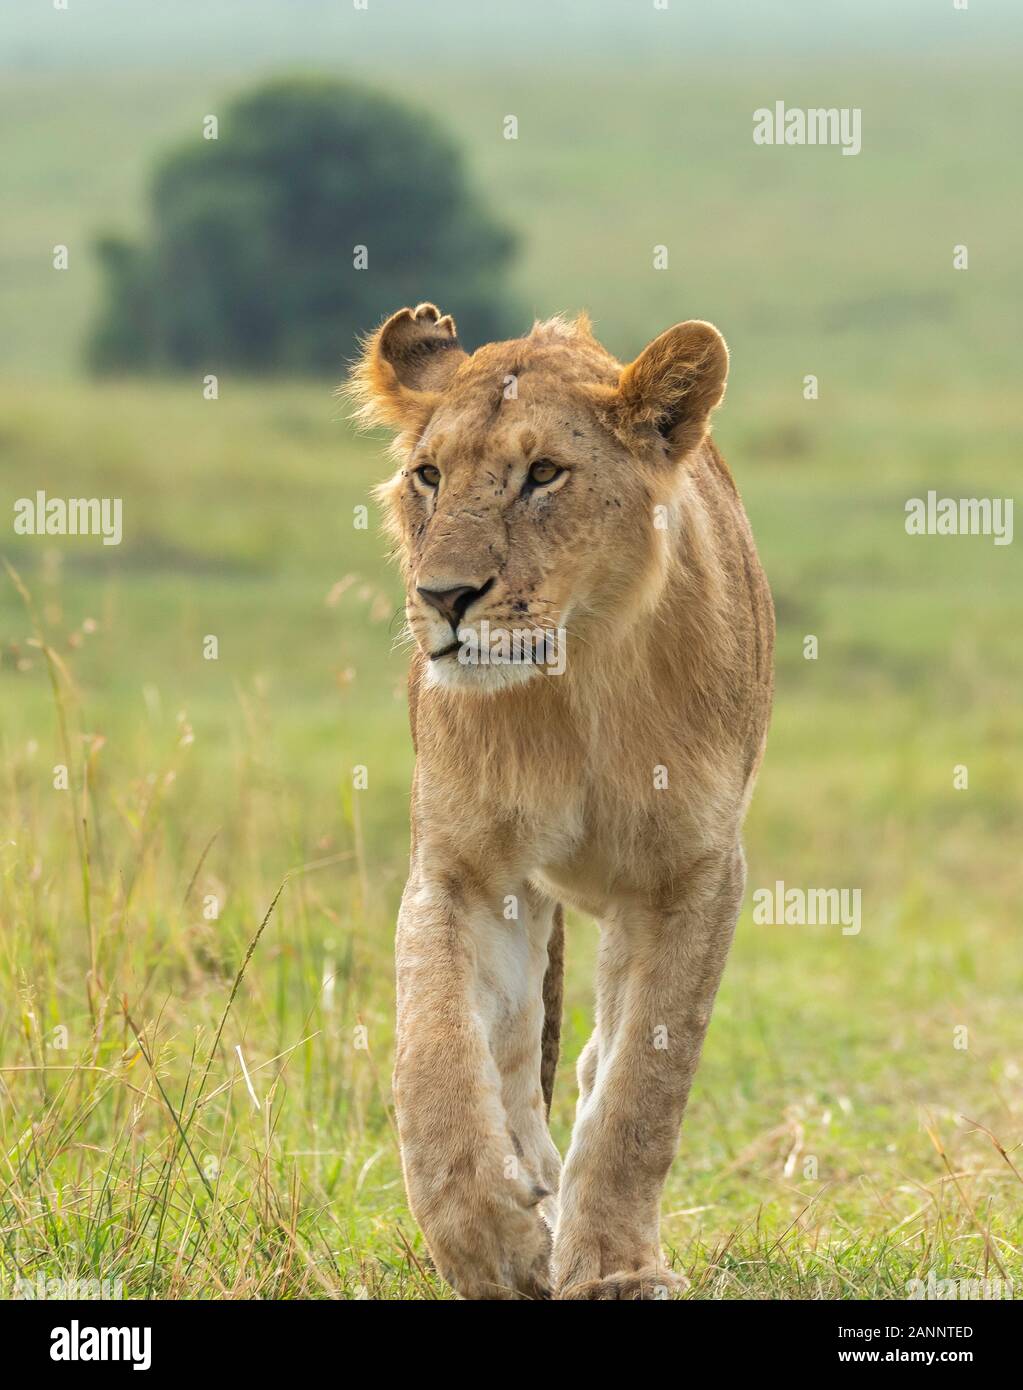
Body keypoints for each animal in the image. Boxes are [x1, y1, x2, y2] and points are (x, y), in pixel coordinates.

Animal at [348, 302, 774, 1299]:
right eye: (429, 475)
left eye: (544, 474)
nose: (444, 596)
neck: (572, 679)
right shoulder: (463, 870)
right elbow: (434, 1059)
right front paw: (493, 1244)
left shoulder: (692, 877)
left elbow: (641, 1093)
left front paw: (613, 1268)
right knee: (509, 1054)